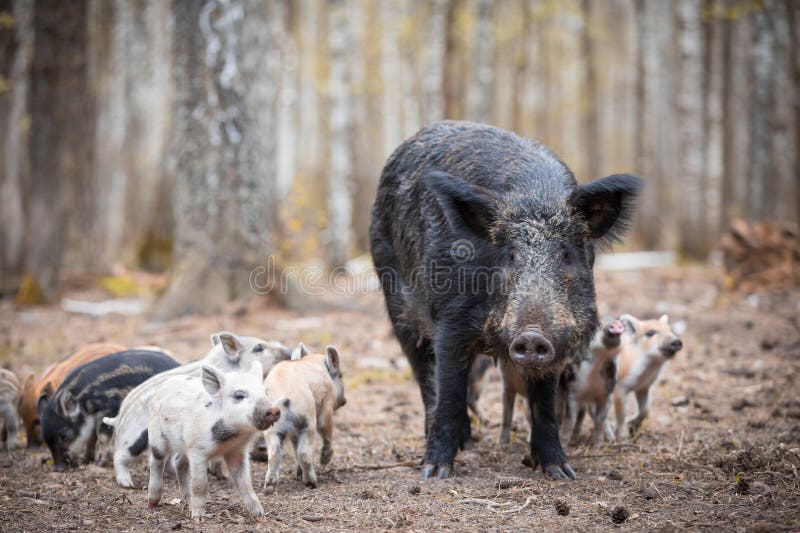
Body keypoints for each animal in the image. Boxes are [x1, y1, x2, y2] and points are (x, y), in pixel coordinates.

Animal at [39, 349, 178, 471]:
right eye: (45, 439)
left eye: (64, 435)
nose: (58, 469)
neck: (85, 399)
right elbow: (91, 438)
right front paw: (86, 460)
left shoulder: (108, 409)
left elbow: (101, 436)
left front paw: (99, 464)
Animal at [103, 332, 290, 488]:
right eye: (259, 348)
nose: (288, 351)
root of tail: (121, 413)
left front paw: (221, 476)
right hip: (136, 436)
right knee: (120, 455)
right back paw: (128, 485)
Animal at [146, 362, 282, 519]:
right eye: (239, 395)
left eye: (265, 393)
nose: (274, 410)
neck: (230, 440)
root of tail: (163, 385)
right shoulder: (197, 450)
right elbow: (200, 484)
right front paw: (198, 518)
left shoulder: (237, 451)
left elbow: (245, 483)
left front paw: (260, 515)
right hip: (156, 437)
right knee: (156, 461)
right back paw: (152, 504)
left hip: (184, 445)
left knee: (179, 462)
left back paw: (188, 501)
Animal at [262, 345, 346, 494]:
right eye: (340, 375)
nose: (344, 401)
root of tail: (283, 398)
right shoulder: (326, 408)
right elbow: (326, 432)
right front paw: (324, 461)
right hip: (308, 423)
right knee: (304, 453)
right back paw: (312, 483)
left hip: (272, 430)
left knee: (274, 453)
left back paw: (269, 488)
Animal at [369, 120, 642, 478]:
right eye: (510, 255)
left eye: (566, 255)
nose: (532, 336)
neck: (535, 196)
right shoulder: (450, 322)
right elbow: (449, 390)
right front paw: (434, 472)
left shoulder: (557, 343)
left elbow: (544, 403)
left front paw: (559, 472)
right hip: (395, 299)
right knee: (426, 379)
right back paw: (457, 446)